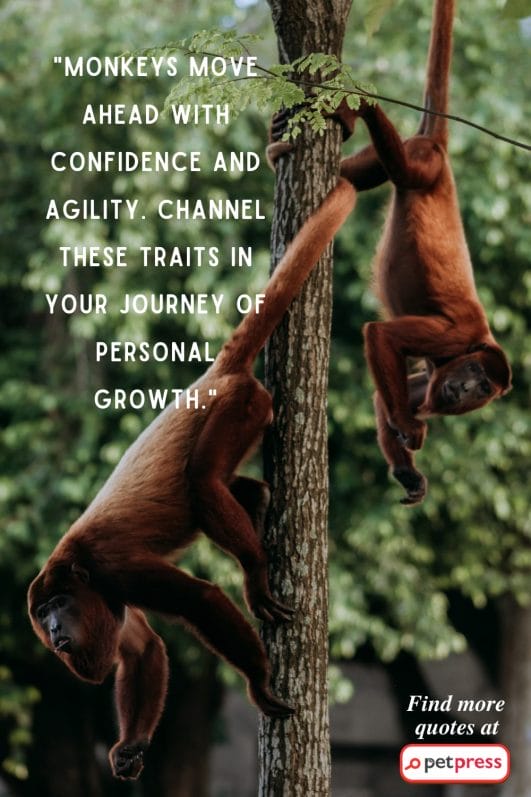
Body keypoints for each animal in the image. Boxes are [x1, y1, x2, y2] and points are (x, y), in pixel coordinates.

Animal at [28, 178, 356, 780]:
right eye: (41, 614)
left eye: (58, 605)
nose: (55, 630)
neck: (78, 566)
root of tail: (213, 375)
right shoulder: (109, 598)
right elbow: (142, 648)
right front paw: (130, 746)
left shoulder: (113, 569)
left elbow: (201, 599)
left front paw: (259, 682)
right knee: (226, 485)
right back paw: (255, 504)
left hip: (241, 405)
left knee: (203, 479)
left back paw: (254, 570)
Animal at [270, 0, 511, 505]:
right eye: (478, 376)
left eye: (483, 389)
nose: (466, 390)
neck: (477, 344)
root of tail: (440, 149)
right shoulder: (455, 335)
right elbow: (380, 335)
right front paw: (405, 426)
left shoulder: (437, 375)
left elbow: (389, 394)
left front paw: (407, 470)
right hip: (424, 163)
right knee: (400, 168)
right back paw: (360, 106)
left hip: (410, 160)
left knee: (360, 176)